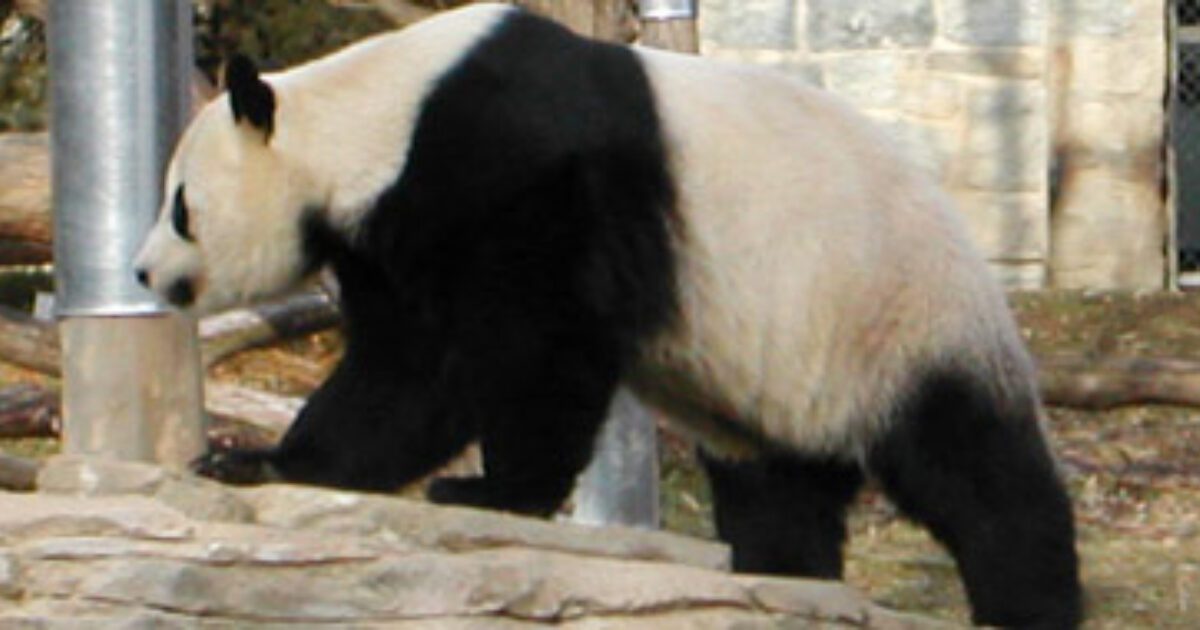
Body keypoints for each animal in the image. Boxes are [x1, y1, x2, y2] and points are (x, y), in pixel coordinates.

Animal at [133, 4, 1080, 627]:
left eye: (181, 207)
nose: (143, 271)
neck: (372, 115)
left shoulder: (519, 166)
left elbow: (534, 345)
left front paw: (492, 490)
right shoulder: (388, 223)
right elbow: (404, 371)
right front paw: (257, 463)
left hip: (896, 313)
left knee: (980, 475)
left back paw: (1029, 599)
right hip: (783, 380)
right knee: (779, 490)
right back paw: (782, 576)